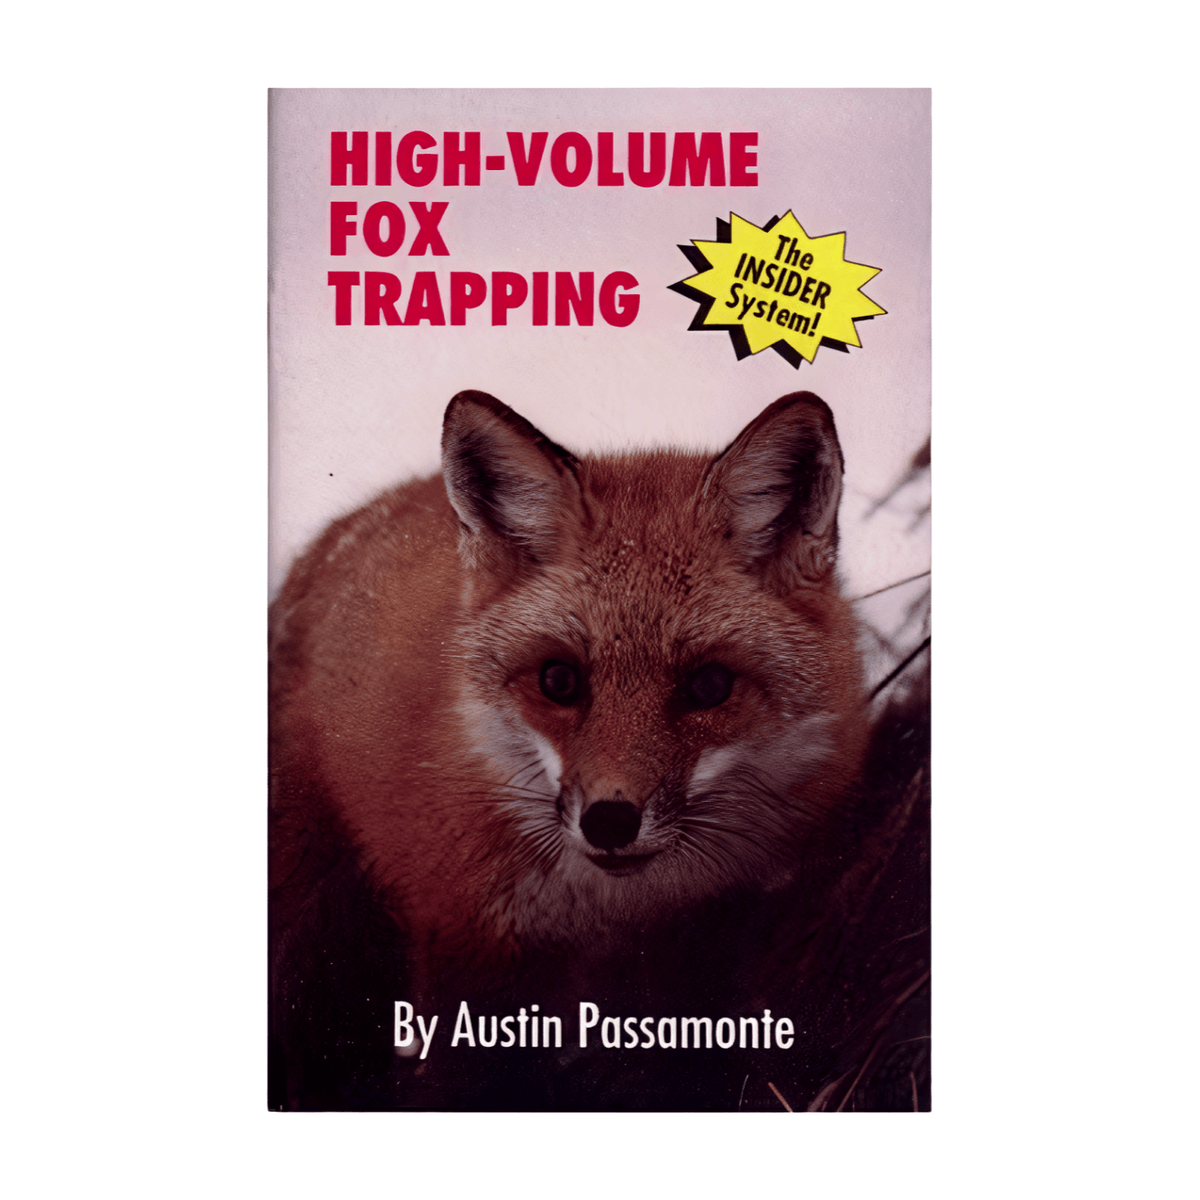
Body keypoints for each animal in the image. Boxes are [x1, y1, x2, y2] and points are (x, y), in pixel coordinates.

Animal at [268, 389, 919, 1110]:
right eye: (559, 680)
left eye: (710, 685)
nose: (609, 821)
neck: (611, 914)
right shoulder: (470, 946)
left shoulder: (713, 946)